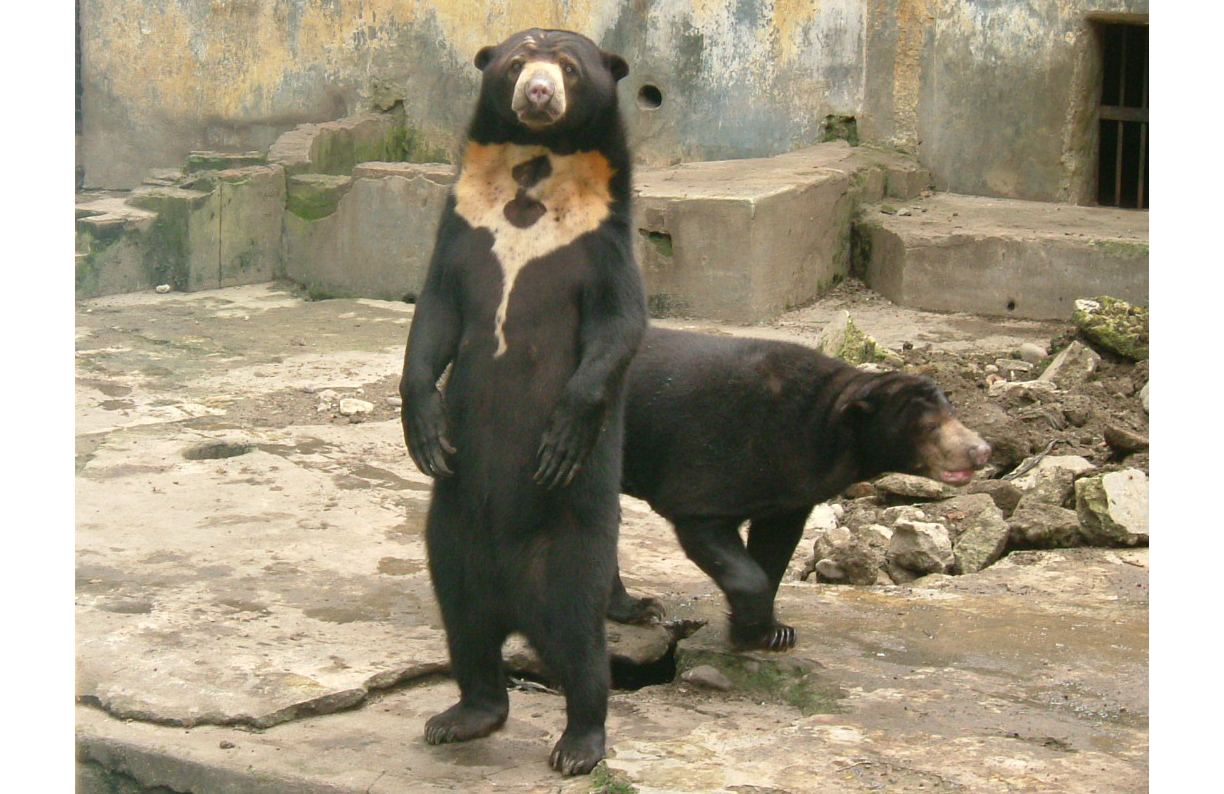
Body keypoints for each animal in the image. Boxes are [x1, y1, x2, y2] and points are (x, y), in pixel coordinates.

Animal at [399, 29, 645, 776]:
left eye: (569, 68)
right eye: (515, 62)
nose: (537, 94)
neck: (533, 171)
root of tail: (513, 600)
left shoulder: (601, 240)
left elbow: (619, 326)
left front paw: (562, 436)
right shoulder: (462, 225)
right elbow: (435, 314)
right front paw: (426, 432)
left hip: (569, 546)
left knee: (581, 644)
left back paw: (579, 744)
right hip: (450, 540)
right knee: (464, 627)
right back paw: (462, 716)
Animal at [605, 327, 991, 651]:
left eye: (953, 412)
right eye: (929, 427)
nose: (981, 450)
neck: (824, 424)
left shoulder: (788, 492)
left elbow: (774, 549)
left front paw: (772, 632)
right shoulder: (711, 462)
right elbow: (713, 531)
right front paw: (752, 630)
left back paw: (636, 609)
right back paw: (643, 608)